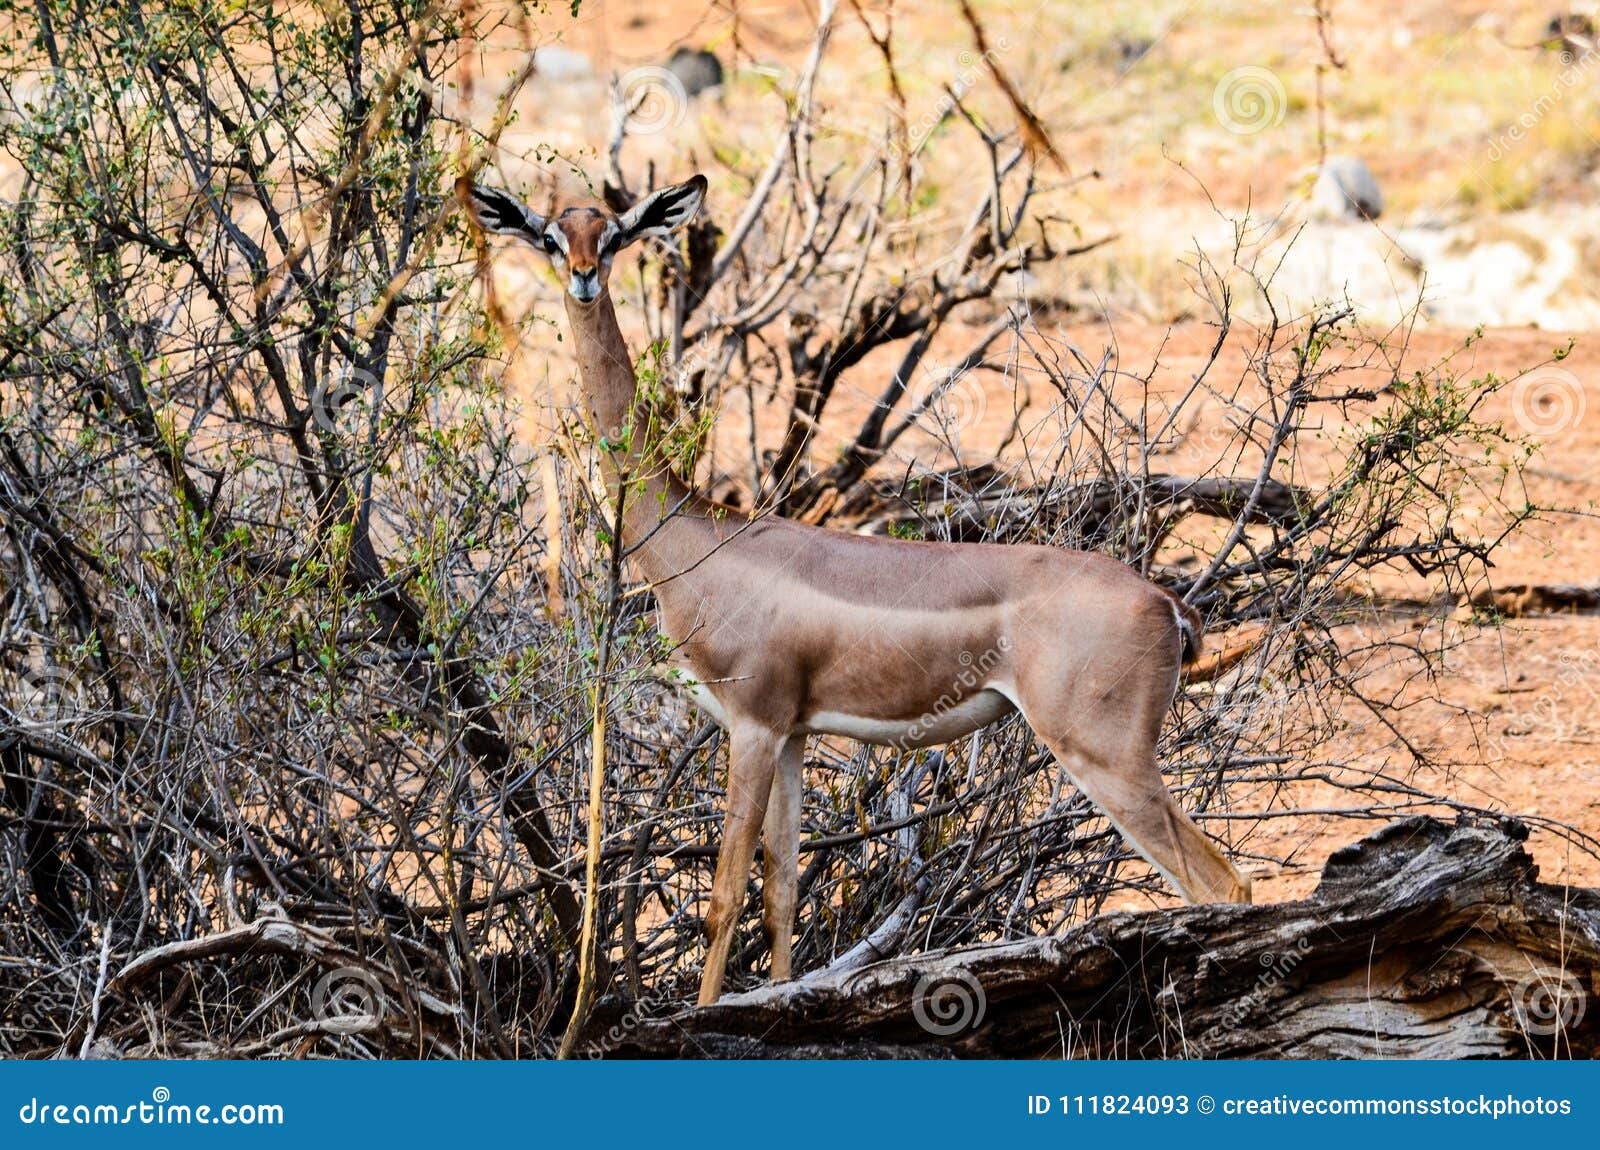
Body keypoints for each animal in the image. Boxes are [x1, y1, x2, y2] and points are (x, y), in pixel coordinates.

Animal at [467, 174, 1252, 1006]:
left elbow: (723, 899)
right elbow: (779, 892)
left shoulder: (752, 725)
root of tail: (1165, 603)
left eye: (615, 234)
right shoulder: (792, 735)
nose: (584, 276)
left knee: (1219, 884)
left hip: (1104, 755)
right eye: (552, 235)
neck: (697, 539)